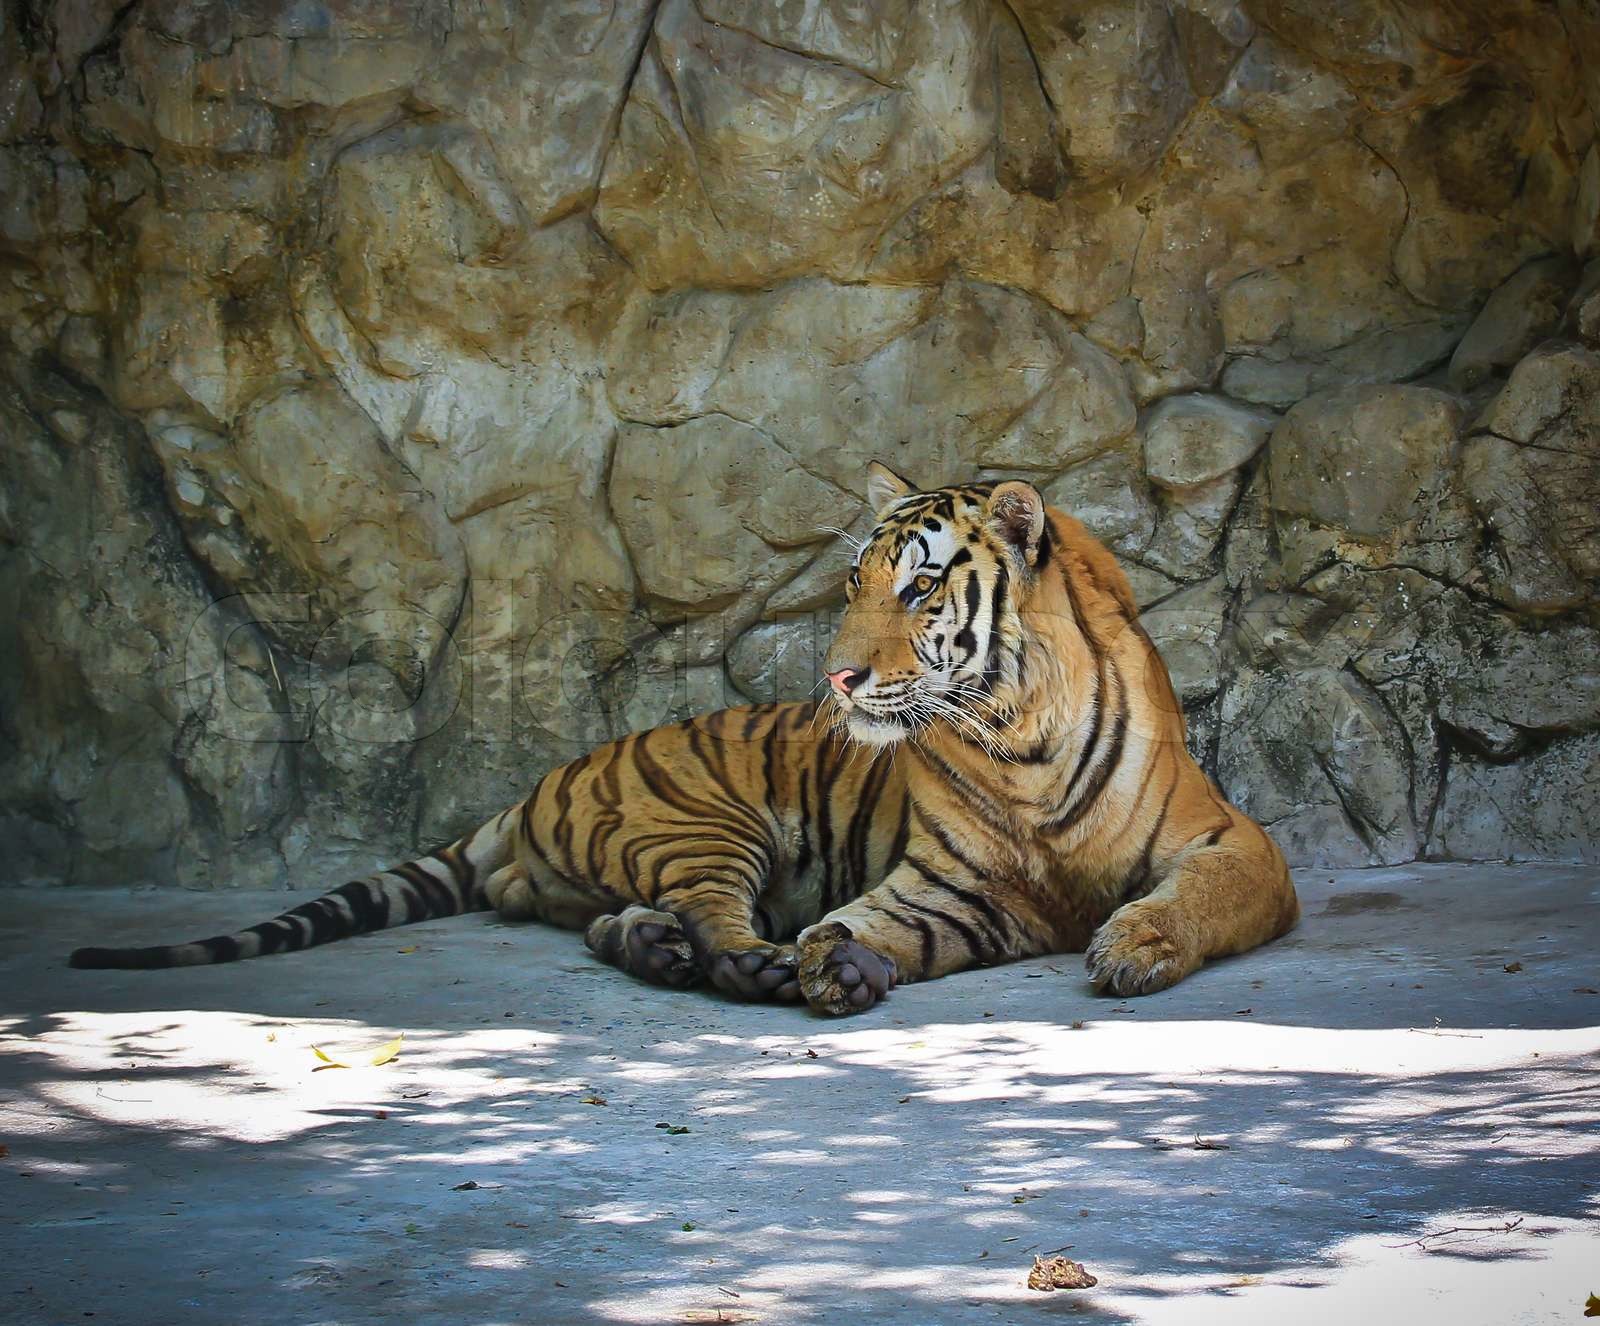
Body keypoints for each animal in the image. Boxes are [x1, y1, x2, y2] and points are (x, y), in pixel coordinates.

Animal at [70, 463, 1299, 1014]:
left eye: (916, 590)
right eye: (852, 586)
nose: (837, 674)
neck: (1013, 735)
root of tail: (528, 789)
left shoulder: (1236, 844)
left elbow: (1202, 893)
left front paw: (1136, 944)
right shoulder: (959, 884)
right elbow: (886, 918)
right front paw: (836, 955)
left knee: (610, 923)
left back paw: (663, 950)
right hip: (704, 825)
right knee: (705, 915)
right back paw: (740, 959)